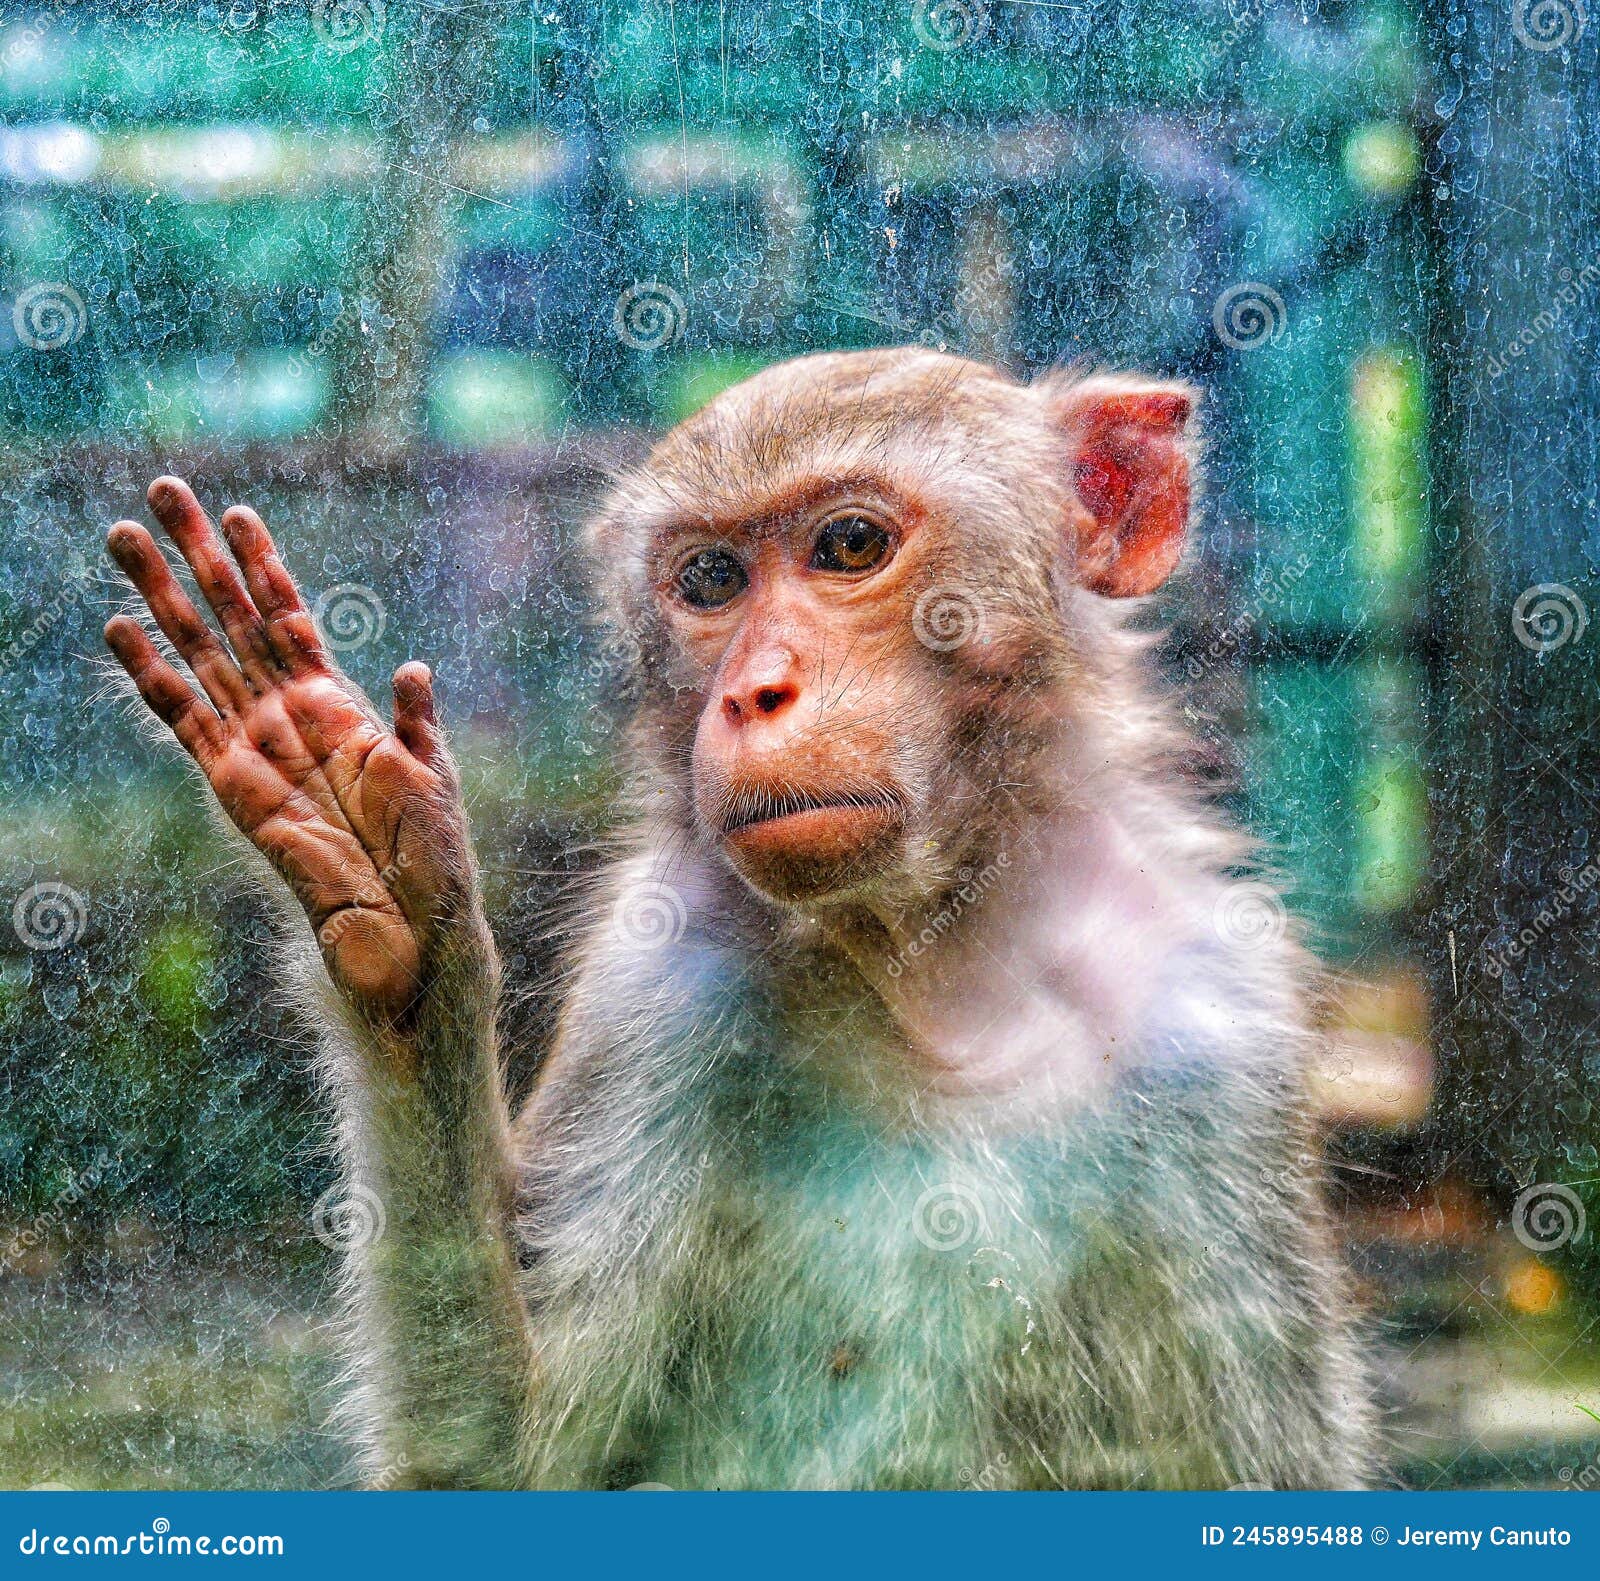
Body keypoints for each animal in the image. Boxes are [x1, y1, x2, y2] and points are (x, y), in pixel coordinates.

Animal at [102, 347, 1376, 1491]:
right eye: (711, 581)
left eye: (850, 546)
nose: (753, 693)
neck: (944, 979)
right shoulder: (661, 986)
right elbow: (502, 1464)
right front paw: (395, 915)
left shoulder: (1219, 1026)